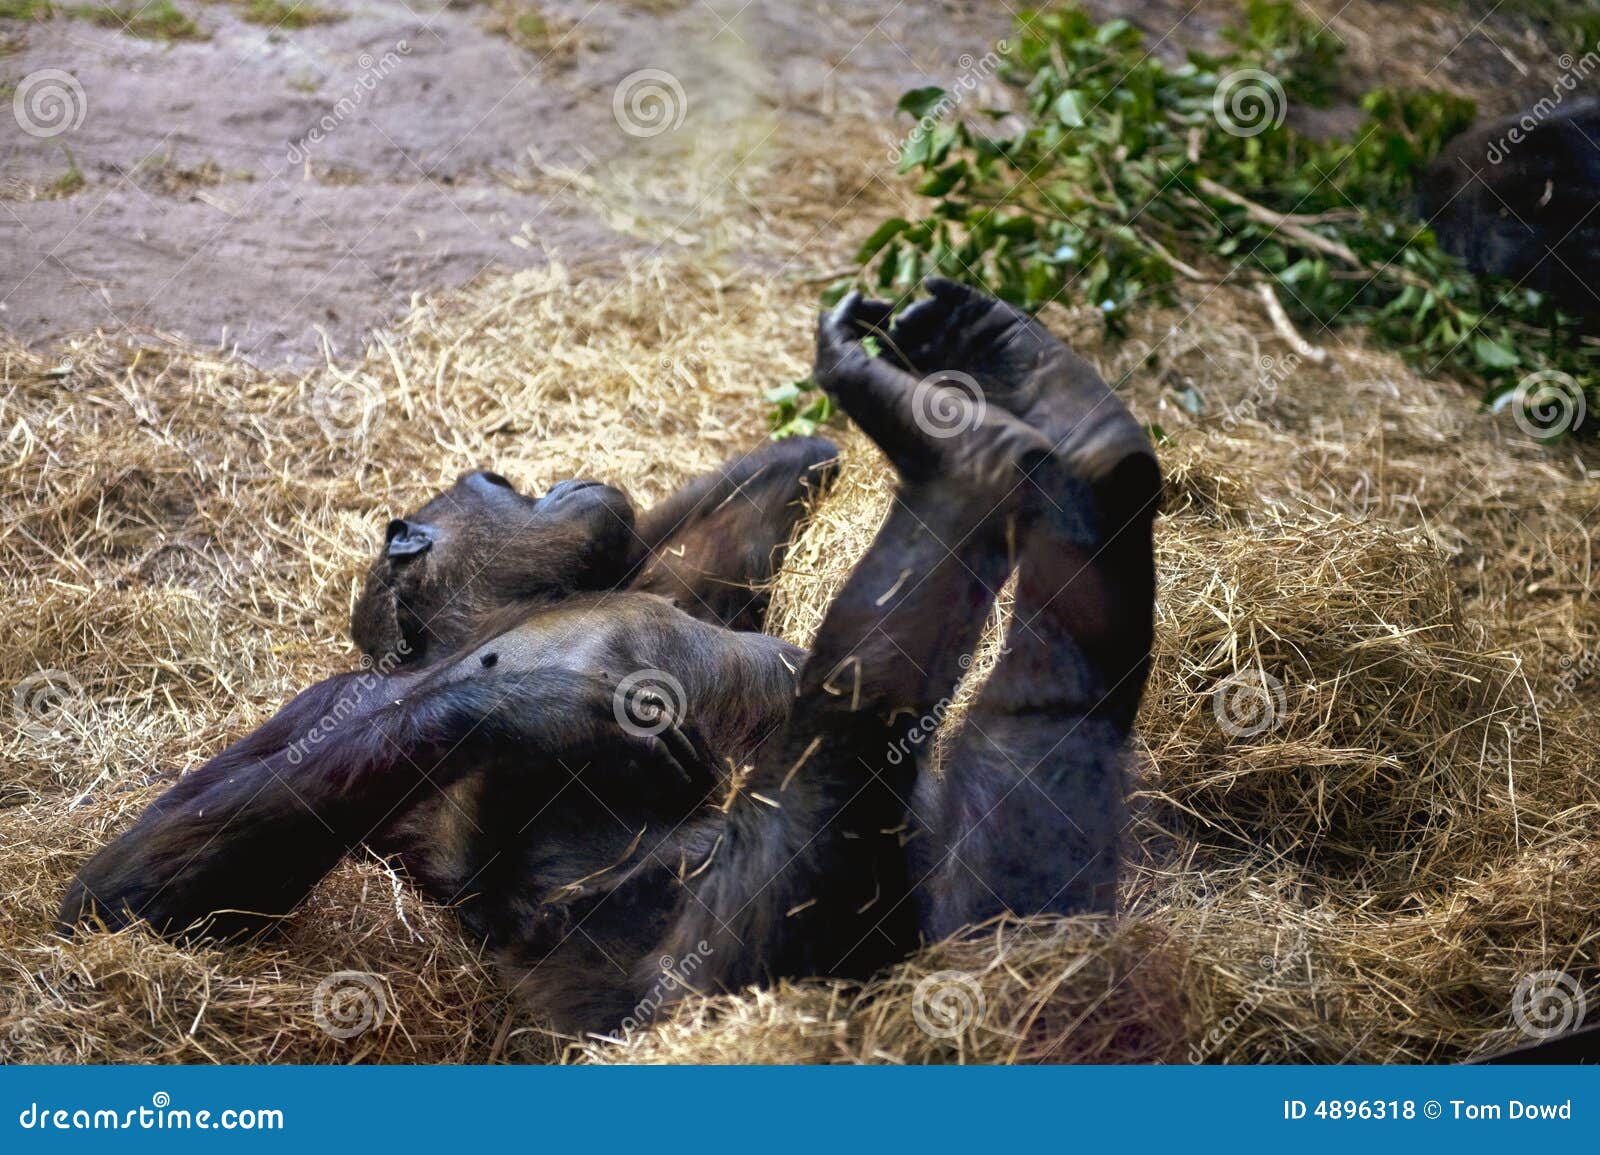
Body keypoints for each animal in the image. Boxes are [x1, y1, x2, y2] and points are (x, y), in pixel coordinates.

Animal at [59, 279, 1162, 1038]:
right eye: (496, 483)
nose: (544, 478)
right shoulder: (330, 705)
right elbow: (125, 894)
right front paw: (551, 697)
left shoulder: (673, 576)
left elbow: (768, 492)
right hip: (706, 987)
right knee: (841, 742)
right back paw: (954, 465)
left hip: (973, 934)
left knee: (1035, 752)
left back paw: (1076, 427)